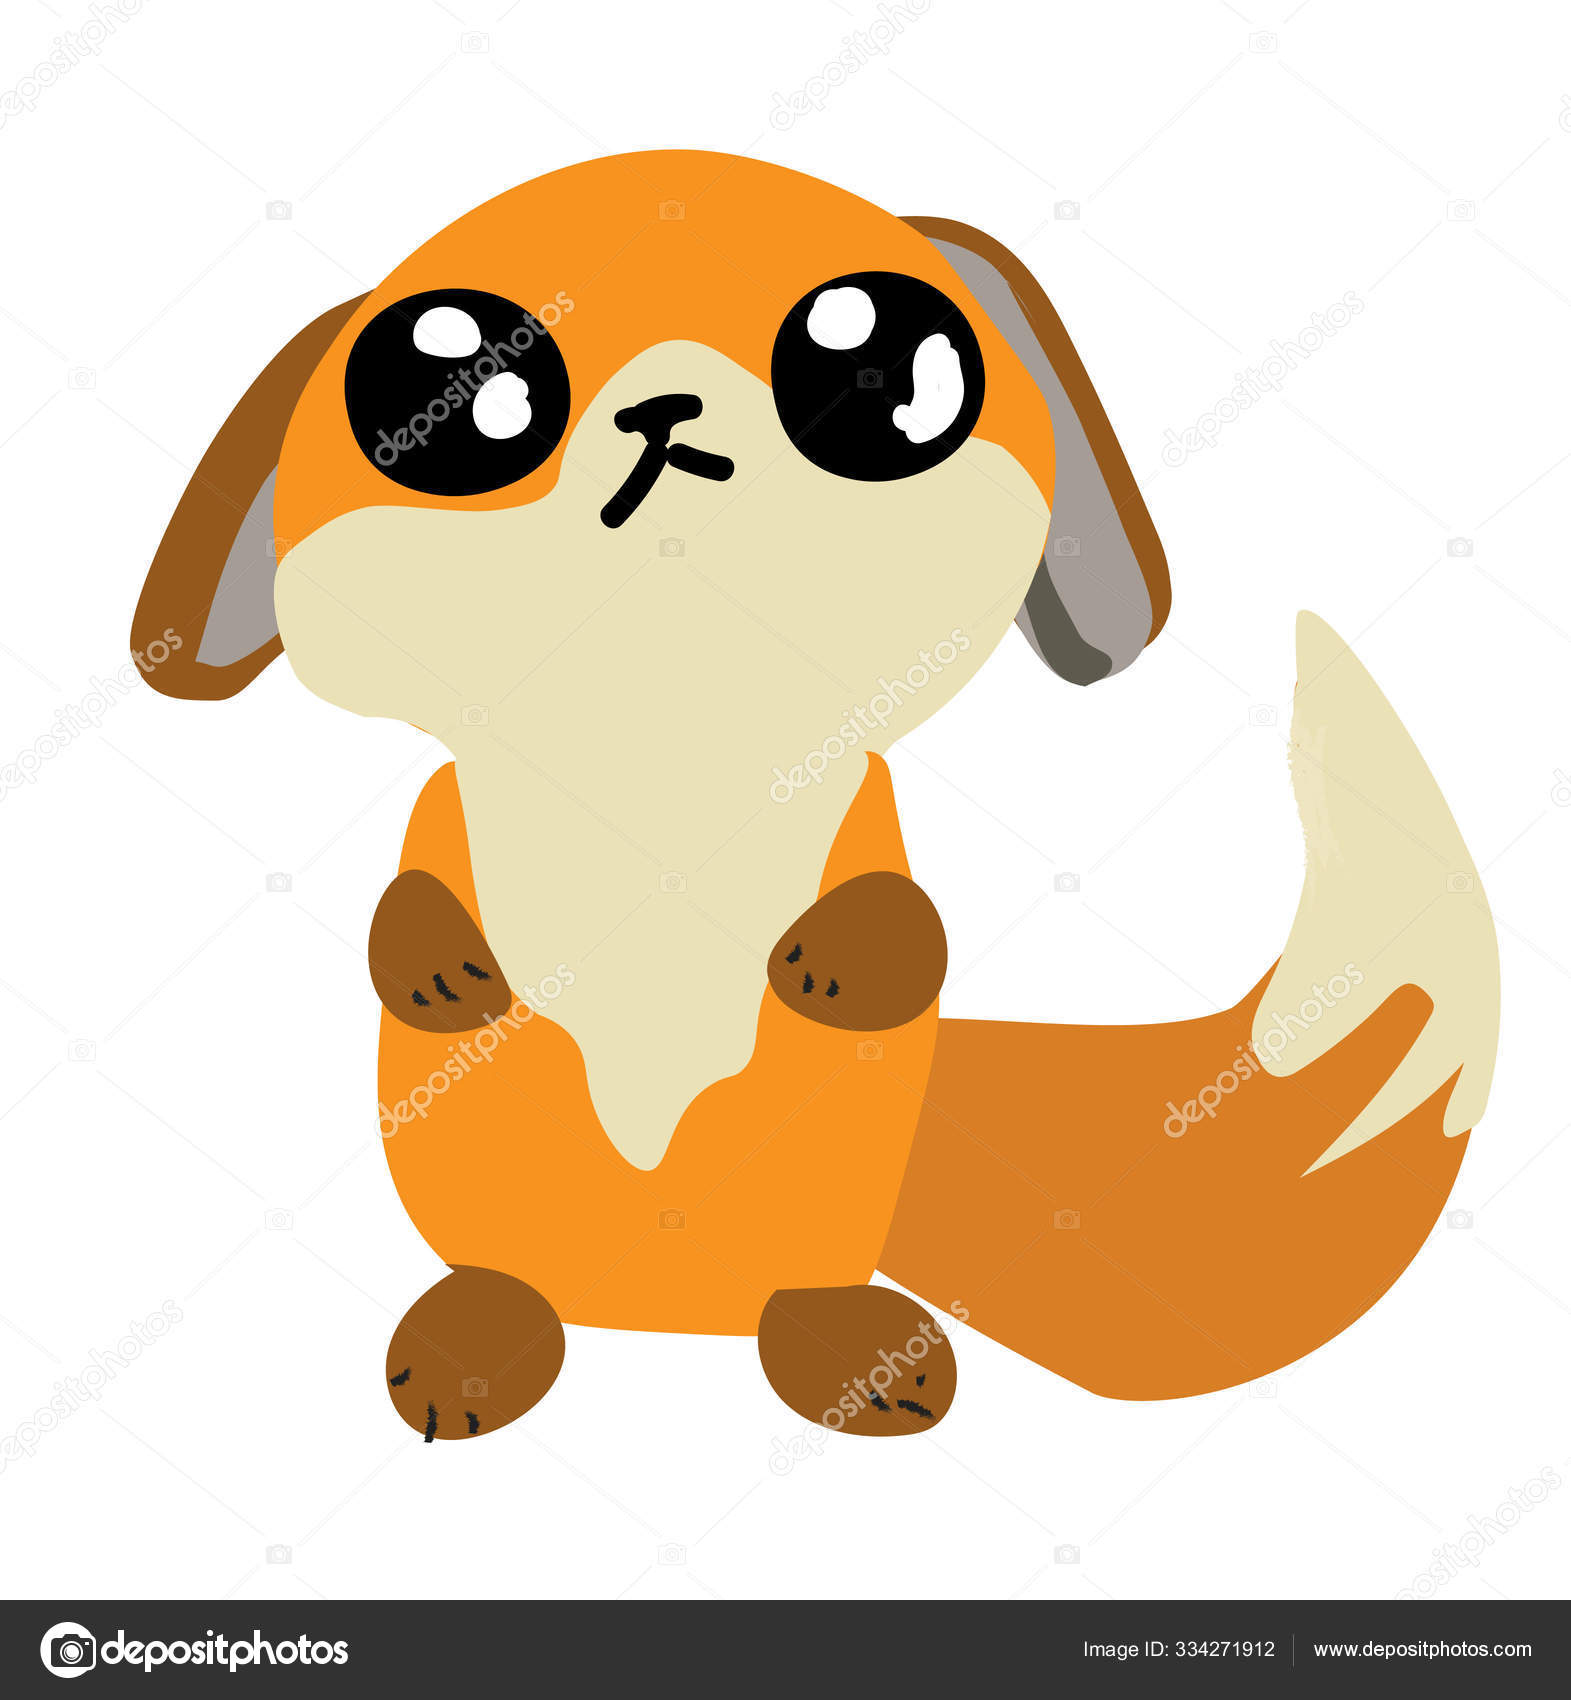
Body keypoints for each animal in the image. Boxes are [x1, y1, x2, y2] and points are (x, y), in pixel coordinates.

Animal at [132, 150, 1499, 1442]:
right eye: (446, 388)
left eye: (883, 363)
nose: (666, 410)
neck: (667, 759)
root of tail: (665, 1311)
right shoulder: (440, 810)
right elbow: (405, 895)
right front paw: (437, 968)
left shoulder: (867, 813)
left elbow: (903, 915)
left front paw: (832, 963)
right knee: (504, 1271)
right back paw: (478, 1336)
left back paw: (851, 1353)